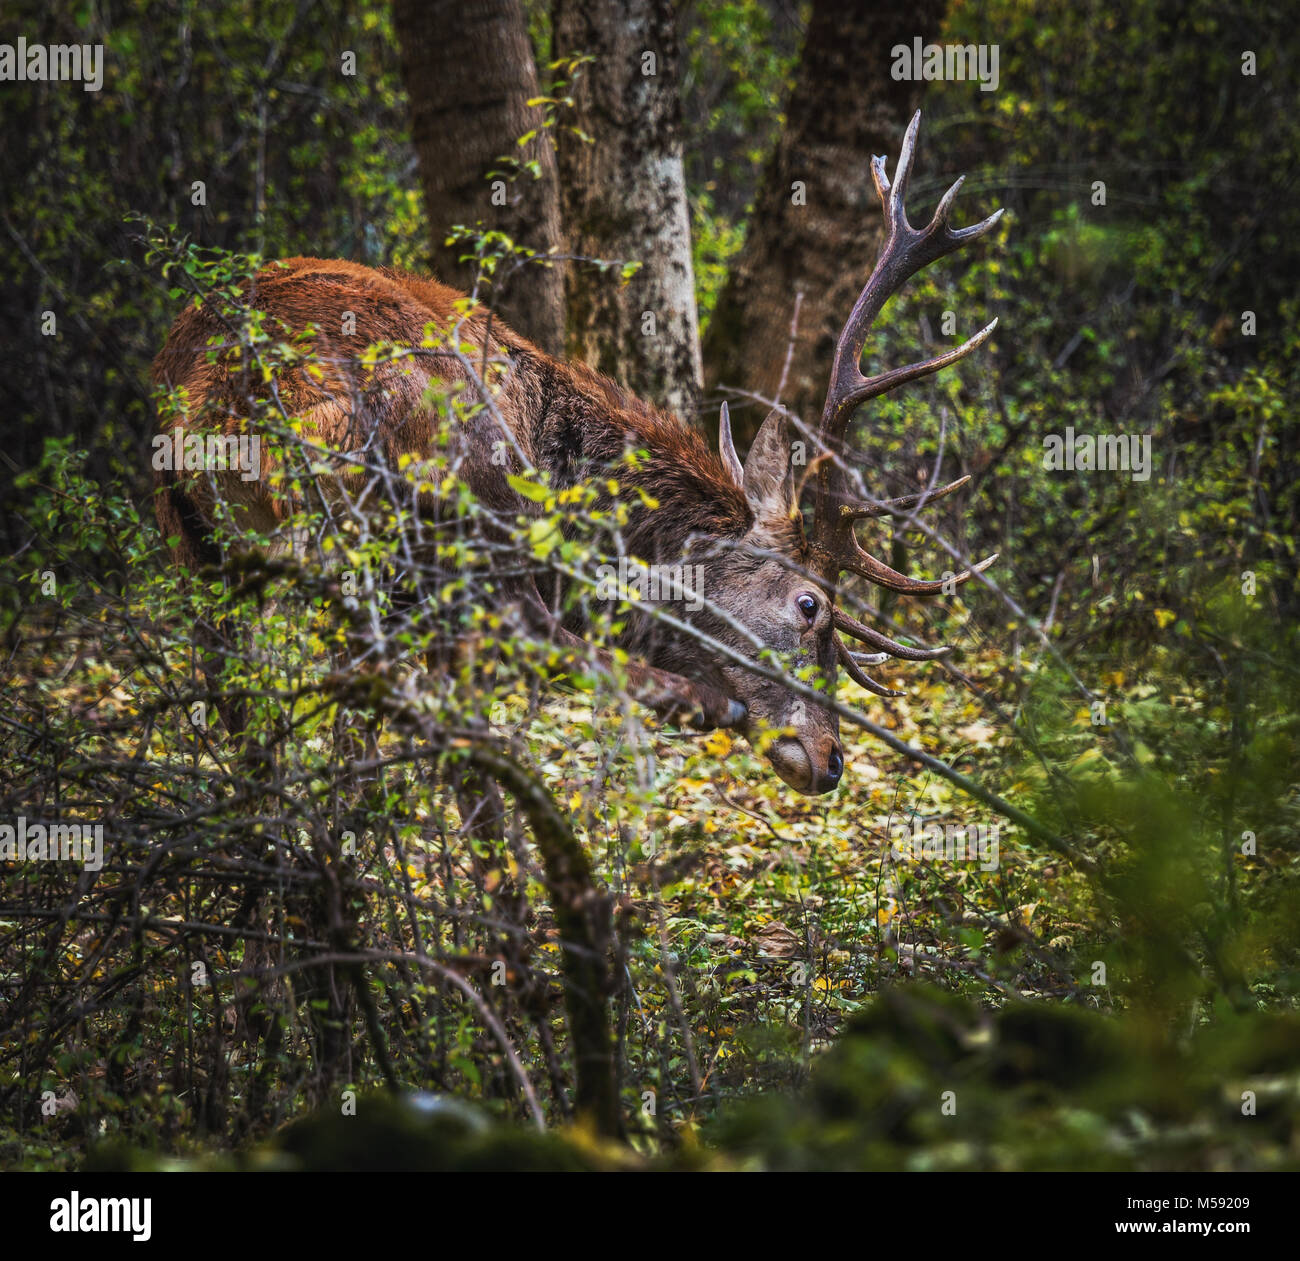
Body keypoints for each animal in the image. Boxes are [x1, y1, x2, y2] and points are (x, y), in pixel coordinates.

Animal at [152, 111, 1001, 798]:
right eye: (810, 605)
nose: (831, 761)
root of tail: (223, 389)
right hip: (429, 529)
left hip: (194, 544)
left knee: (242, 705)